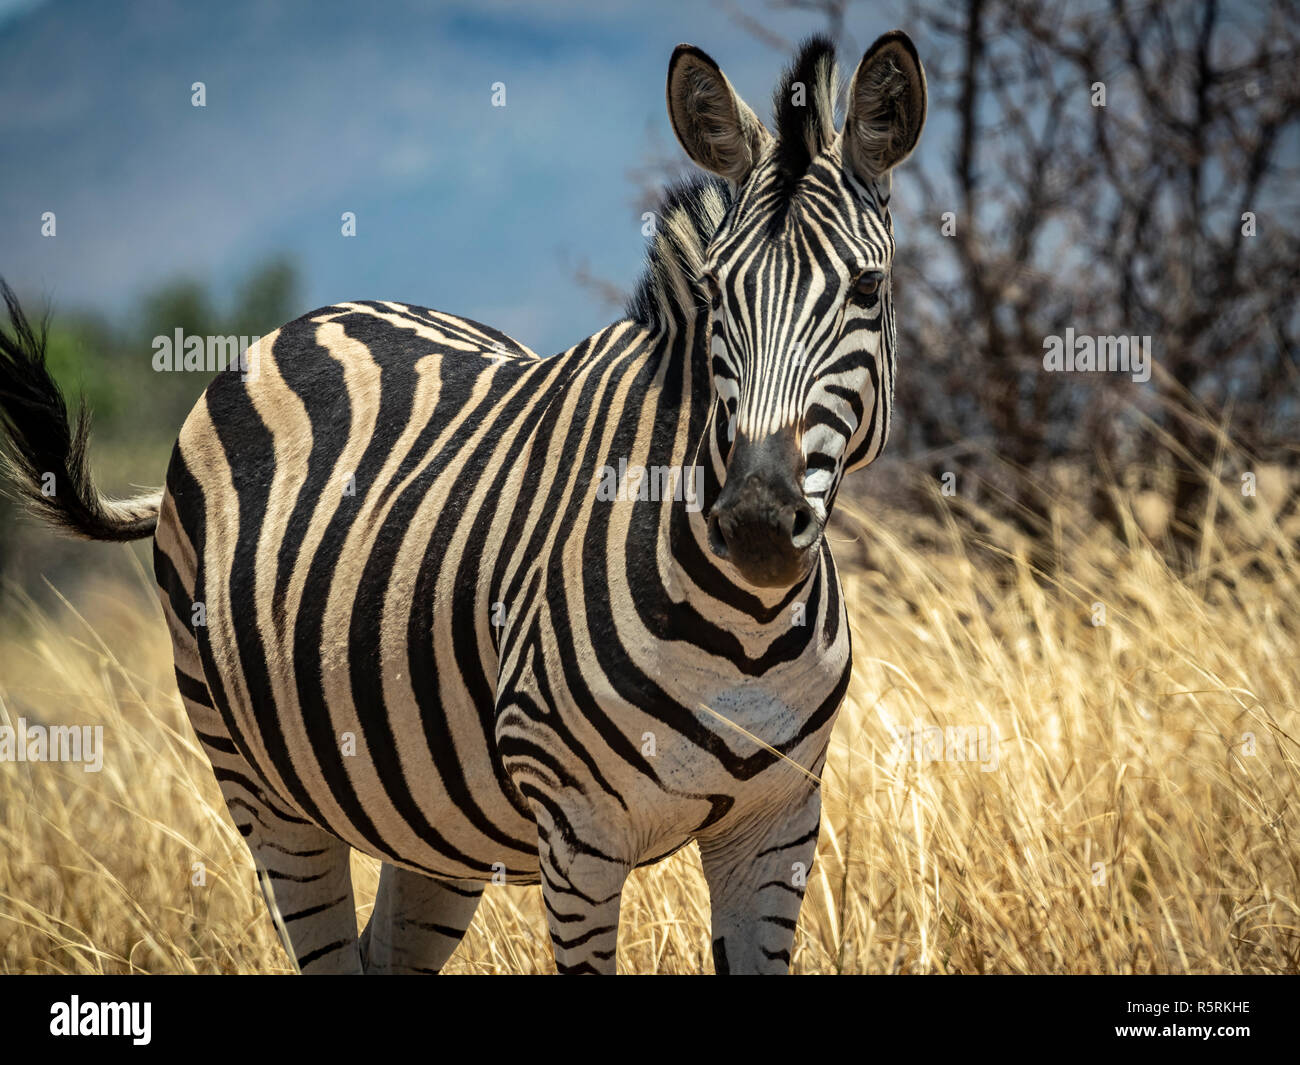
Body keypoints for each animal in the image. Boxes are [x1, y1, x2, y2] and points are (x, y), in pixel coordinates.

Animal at [0, 31, 925, 974]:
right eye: (718, 296)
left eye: (866, 289)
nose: (759, 524)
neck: (745, 625)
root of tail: (304, 322)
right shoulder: (579, 836)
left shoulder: (778, 828)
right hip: (258, 781)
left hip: (430, 819)